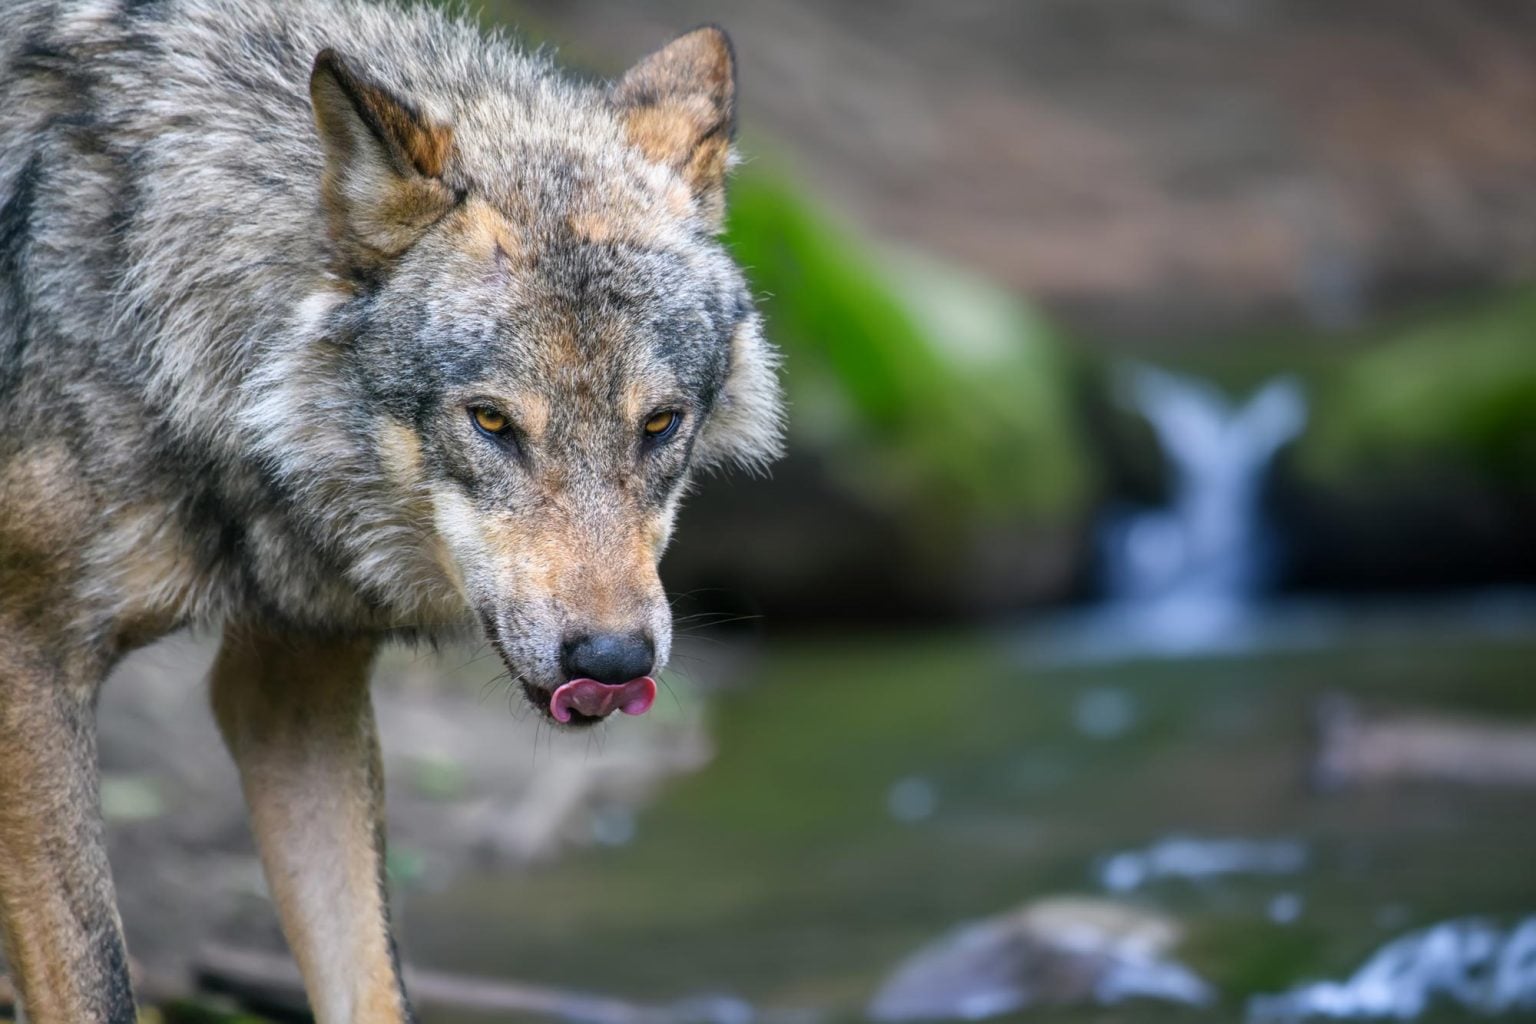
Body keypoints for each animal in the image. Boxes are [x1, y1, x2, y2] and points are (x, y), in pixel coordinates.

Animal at [0, 0, 783, 1017]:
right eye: (491, 421)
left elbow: (370, 981)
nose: (612, 661)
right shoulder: (29, 664)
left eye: (659, 424)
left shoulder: (295, 684)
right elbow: (97, 981)